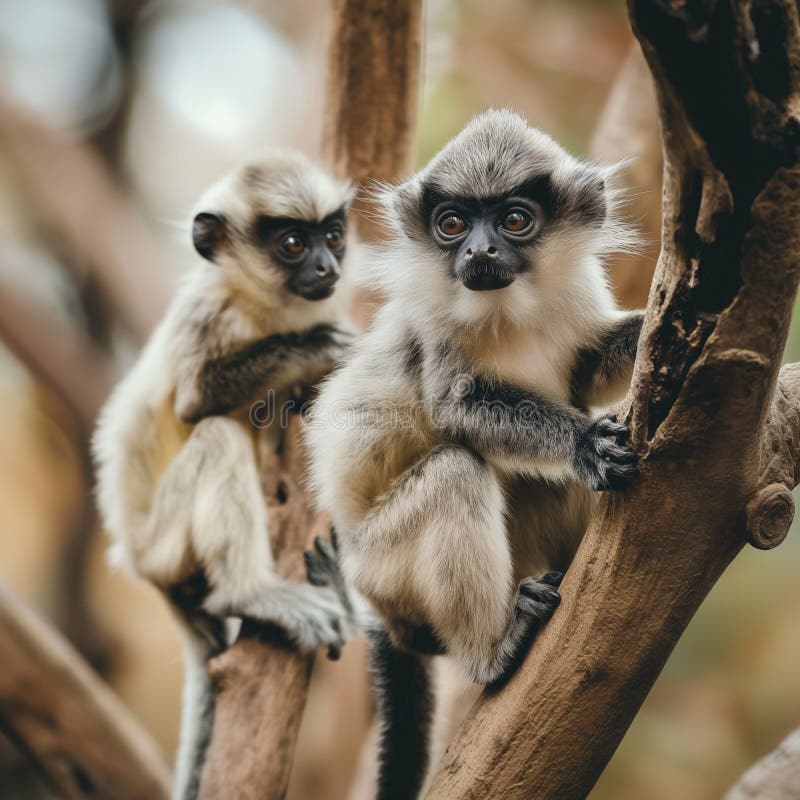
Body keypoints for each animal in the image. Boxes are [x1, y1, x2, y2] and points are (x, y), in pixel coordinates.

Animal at [92, 151, 356, 800]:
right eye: (293, 244)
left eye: (333, 236)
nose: (327, 266)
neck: (265, 313)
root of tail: (140, 565)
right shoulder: (205, 316)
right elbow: (195, 405)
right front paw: (315, 347)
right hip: (164, 541)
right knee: (217, 436)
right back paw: (251, 591)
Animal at [305, 109, 644, 799]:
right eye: (452, 225)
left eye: (514, 220)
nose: (479, 252)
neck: (509, 311)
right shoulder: (435, 324)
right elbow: (455, 410)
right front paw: (583, 441)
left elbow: (591, 371)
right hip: (380, 559)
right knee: (458, 472)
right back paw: (494, 651)